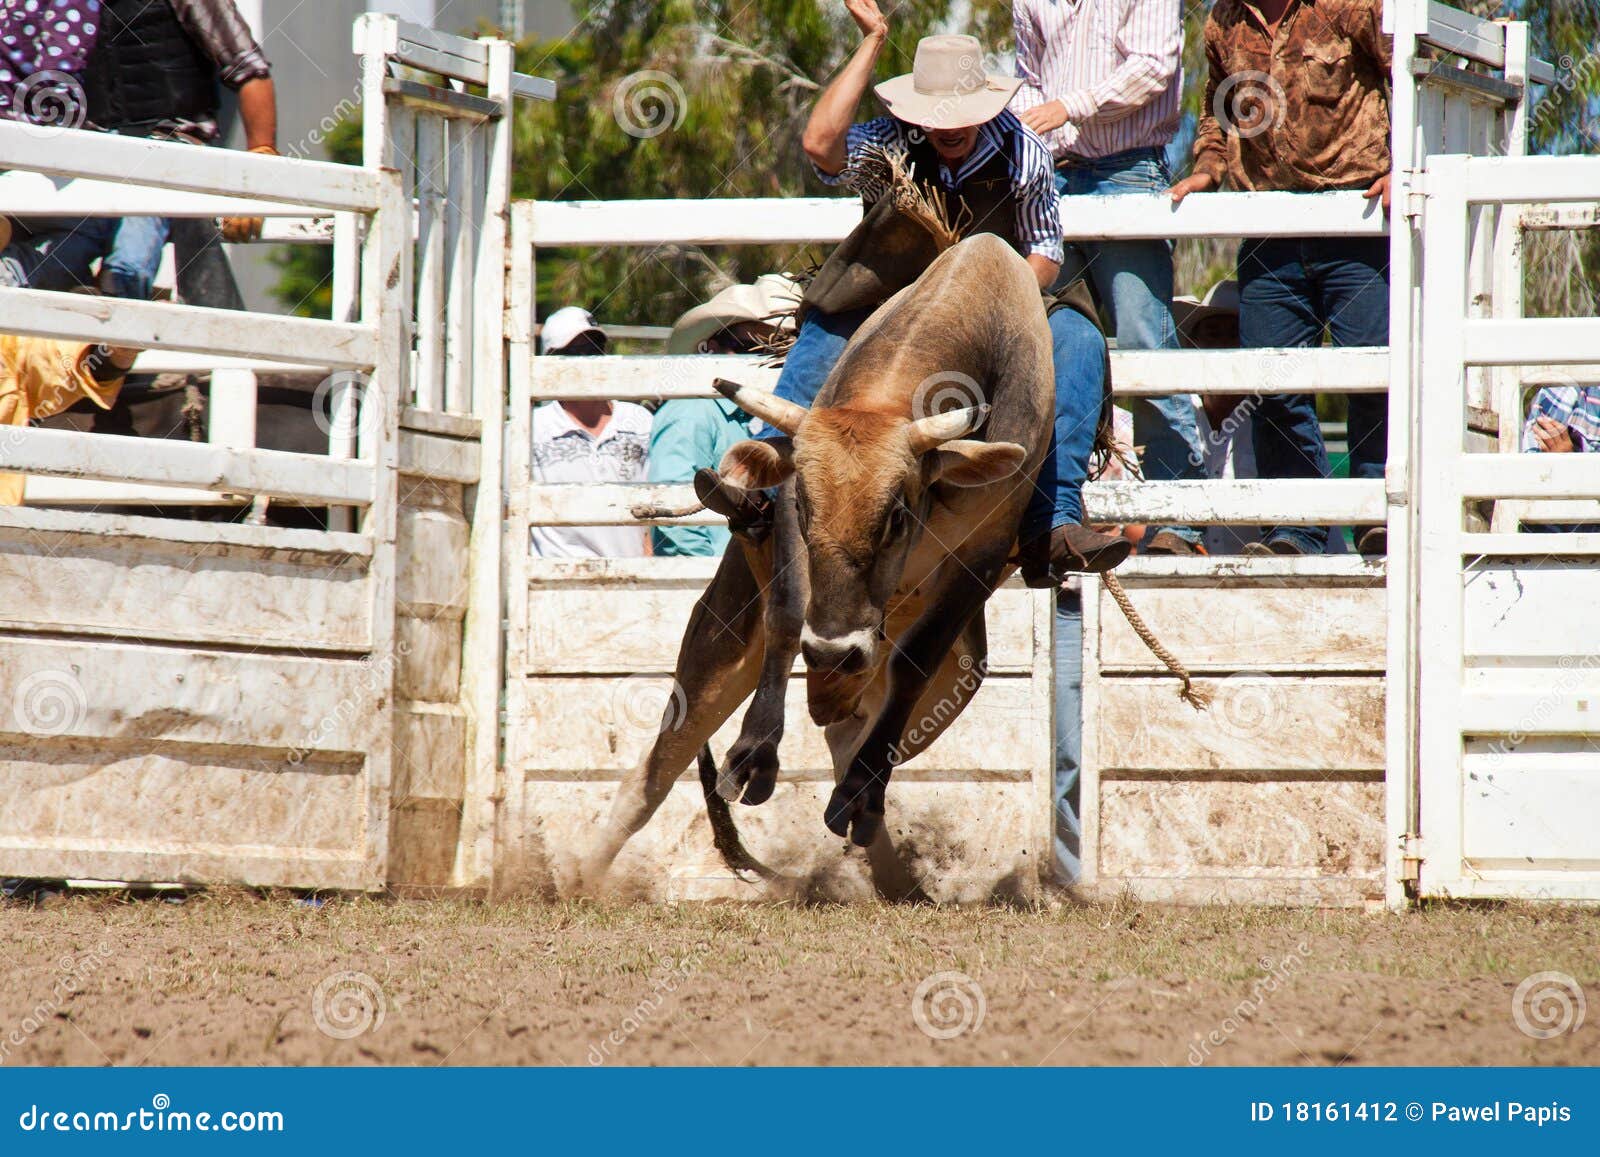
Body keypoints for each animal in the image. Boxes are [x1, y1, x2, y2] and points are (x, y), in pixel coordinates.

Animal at [580, 231, 1058, 894]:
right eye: (807, 504)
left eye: (897, 513)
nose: (832, 652)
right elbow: (786, 616)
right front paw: (757, 752)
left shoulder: (985, 553)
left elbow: (914, 662)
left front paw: (862, 797)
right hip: (719, 638)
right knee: (661, 762)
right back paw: (575, 875)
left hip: (947, 684)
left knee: (854, 733)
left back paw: (891, 869)